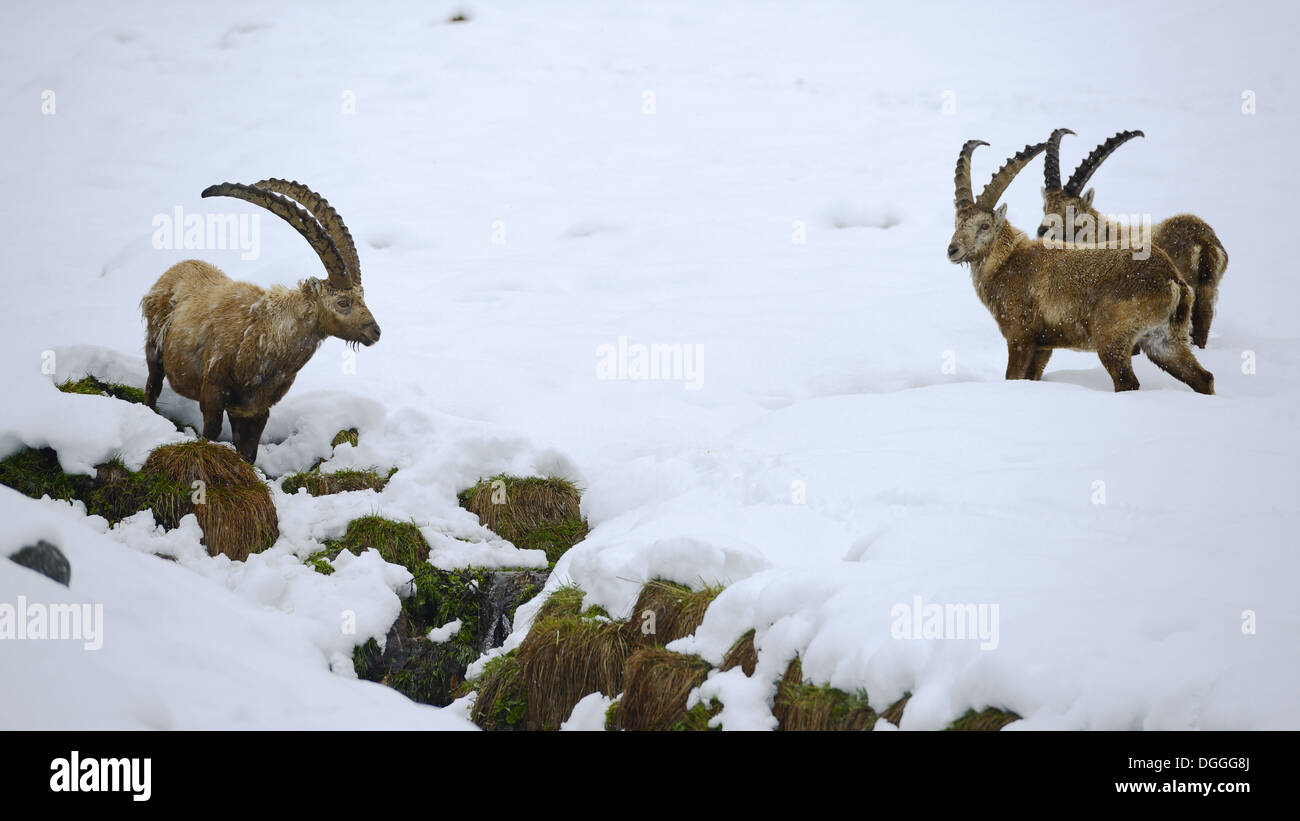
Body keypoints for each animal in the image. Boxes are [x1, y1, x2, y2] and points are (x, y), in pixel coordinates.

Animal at [141, 180, 380, 463]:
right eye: (343, 302)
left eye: (362, 296)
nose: (375, 331)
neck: (265, 335)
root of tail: (177, 267)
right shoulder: (212, 393)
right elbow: (210, 434)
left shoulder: (255, 409)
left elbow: (248, 452)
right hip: (155, 348)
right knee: (153, 385)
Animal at [948, 140, 1213, 394]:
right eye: (957, 222)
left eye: (984, 225)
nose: (953, 250)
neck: (1007, 264)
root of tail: (1172, 279)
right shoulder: (1043, 345)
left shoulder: (1020, 337)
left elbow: (1013, 376)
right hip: (1163, 341)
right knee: (1204, 377)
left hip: (1112, 338)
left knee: (1128, 382)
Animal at [1038, 129, 1228, 347]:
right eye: (1045, 205)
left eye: (1074, 209)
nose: (1042, 231)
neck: (1099, 234)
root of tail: (1204, 242)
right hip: (1208, 292)